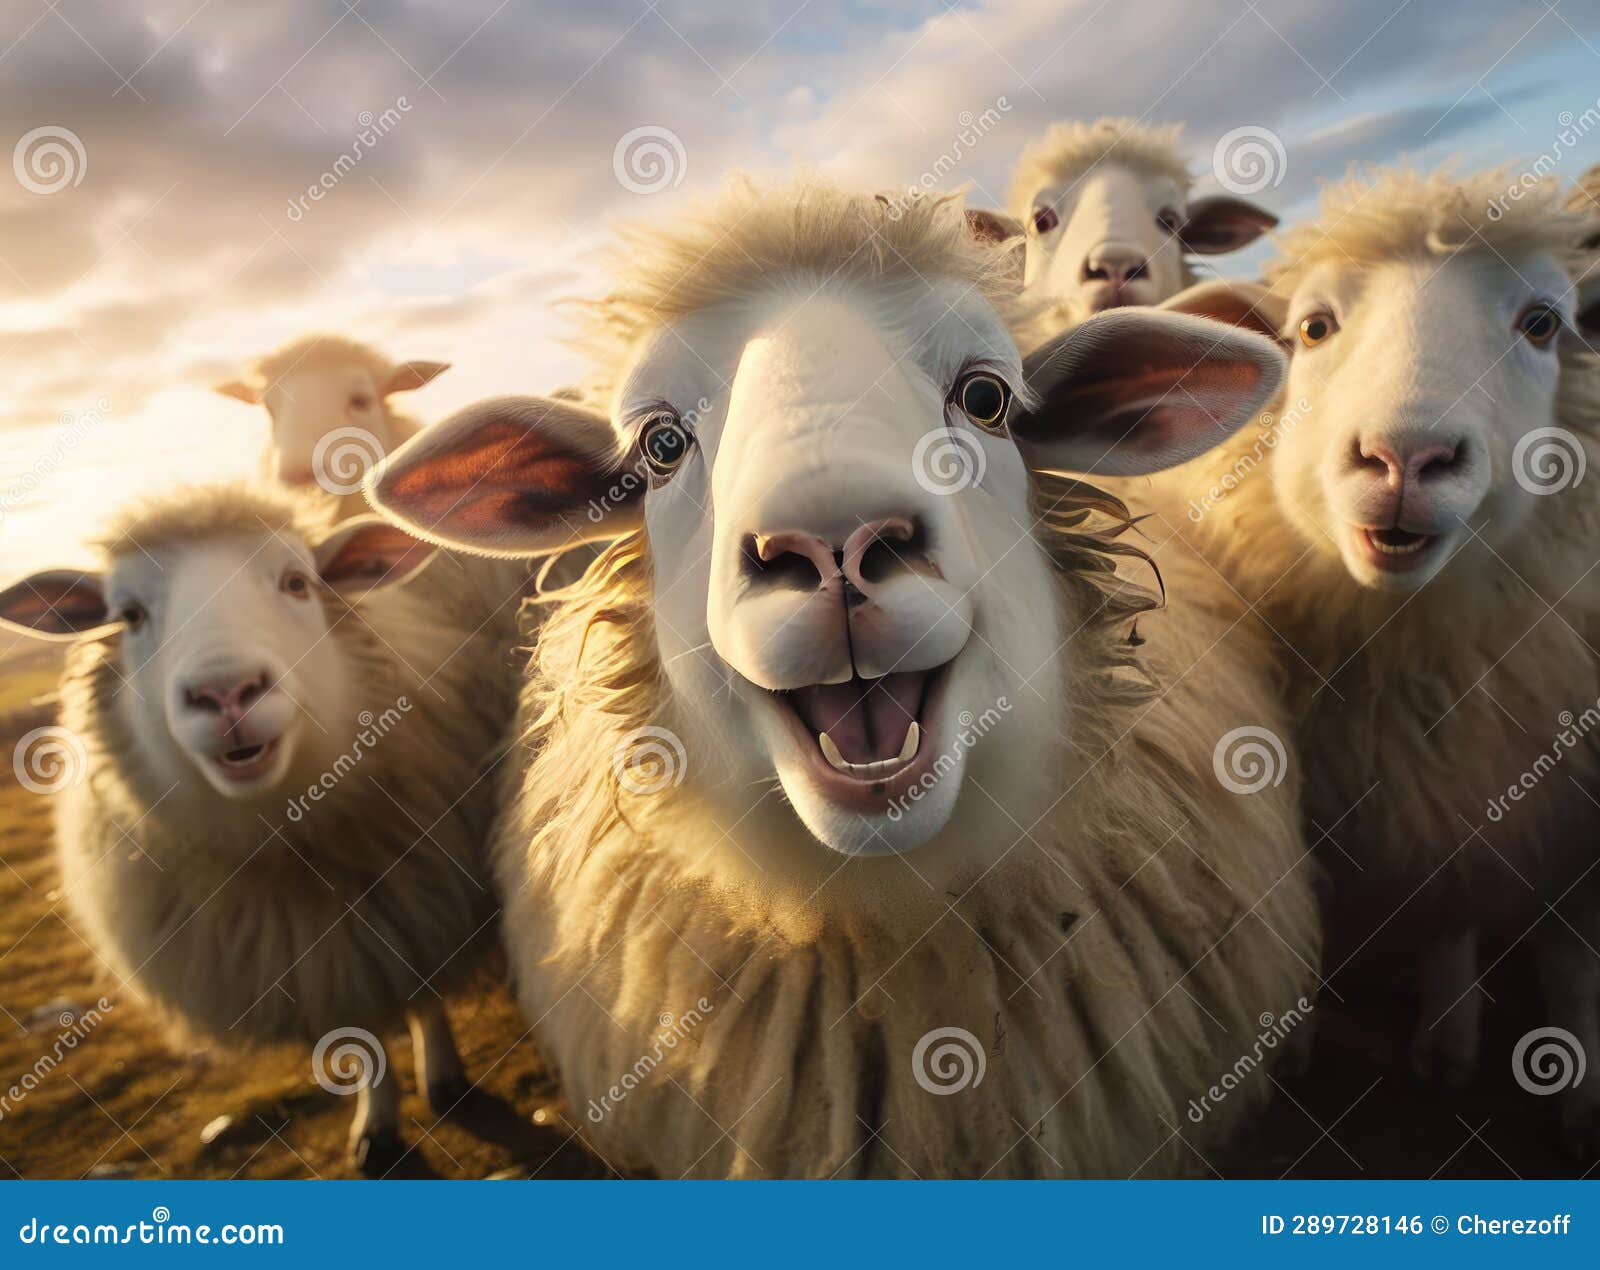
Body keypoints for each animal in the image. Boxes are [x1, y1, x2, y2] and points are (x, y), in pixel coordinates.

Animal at [0, 484, 530, 1174]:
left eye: (297, 582)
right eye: (130, 615)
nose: (225, 692)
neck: (289, 843)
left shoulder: (415, 910)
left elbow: (423, 993)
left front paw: (439, 1077)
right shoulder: (333, 958)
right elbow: (363, 1039)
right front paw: (376, 1128)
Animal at [1126, 165, 1600, 1155]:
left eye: (1543, 323)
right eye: (1314, 328)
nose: (1405, 458)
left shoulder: (1563, 800)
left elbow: (1571, 948)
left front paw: (1578, 1095)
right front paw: (1441, 1041)